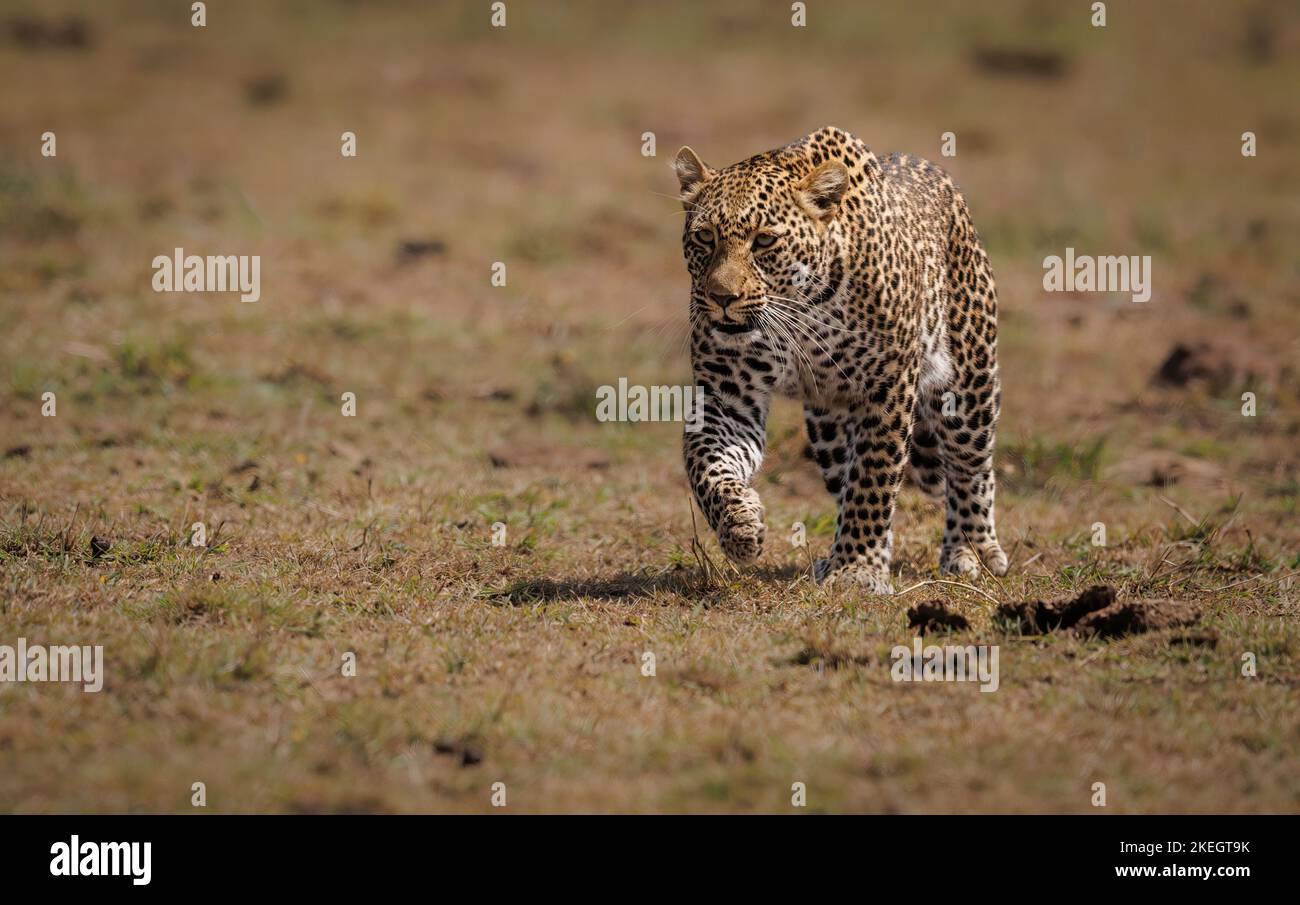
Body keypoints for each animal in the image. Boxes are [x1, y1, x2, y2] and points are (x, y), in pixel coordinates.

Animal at [674, 126, 1008, 595]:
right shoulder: (728, 397)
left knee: (971, 469)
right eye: (705, 237)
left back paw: (971, 551)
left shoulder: (888, 387)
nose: (722, 297)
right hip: (828, 428)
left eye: (764, 241)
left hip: (969, 384)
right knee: (845, 478)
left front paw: (857, 569)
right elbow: (707, 463)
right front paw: (738, 523)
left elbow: (874, 479)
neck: (800, 310)